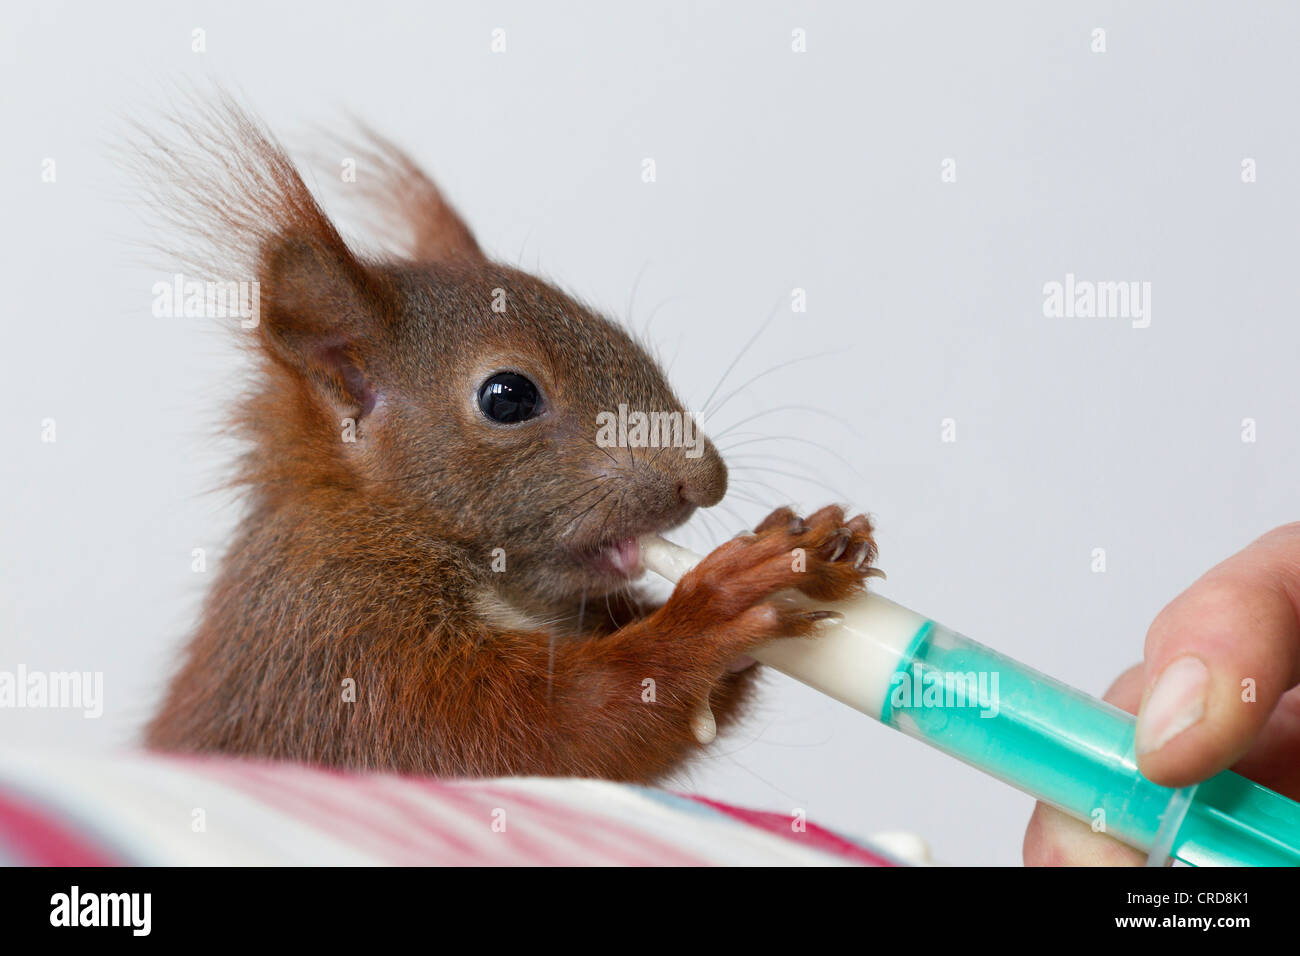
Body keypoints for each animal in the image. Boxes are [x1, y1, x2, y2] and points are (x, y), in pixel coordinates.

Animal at [142, 95, 880, 783]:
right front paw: (712, 613)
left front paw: (814, 542)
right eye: (508, 397)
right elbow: (515, 736)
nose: (704, 482)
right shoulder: (345, 642)